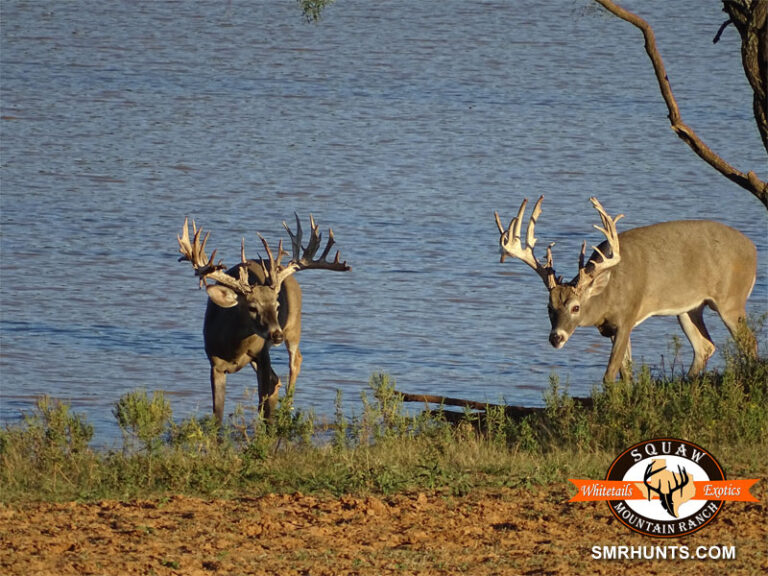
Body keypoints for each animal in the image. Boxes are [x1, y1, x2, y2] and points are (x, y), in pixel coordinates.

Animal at [178, 214, 350, 423]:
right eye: (252, 307)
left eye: (277, 306)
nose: (276, 335)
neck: (233, 350)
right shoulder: (214, 364)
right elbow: (217, 414)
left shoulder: (262, 355)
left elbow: (264, 402)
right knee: (276, 380)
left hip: (294, 326)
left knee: (295, 362)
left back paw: (287, 410)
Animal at [494, 196, 757, 382]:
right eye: (549, 307)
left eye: (576, 307)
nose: (555, 337)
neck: (607, 293)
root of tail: (753, 249)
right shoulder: (610, 328)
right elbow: (626, 371)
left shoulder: (627, 317)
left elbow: (610, 373)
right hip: (689, 308)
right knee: (705, 347)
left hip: (731, 299)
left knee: (749, 343)